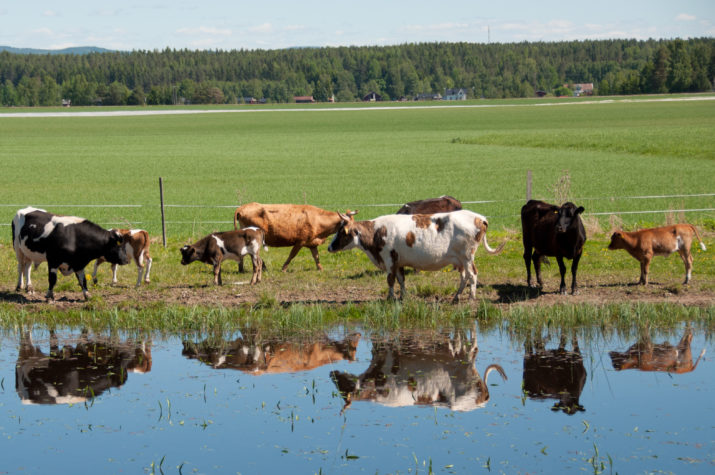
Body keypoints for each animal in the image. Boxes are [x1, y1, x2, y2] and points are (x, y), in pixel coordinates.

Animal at [327, 209, 505, 302]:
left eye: (341, 232)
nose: (329, 247)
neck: (376, 232)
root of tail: (479, 217)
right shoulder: (398, 262)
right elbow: (401, 280)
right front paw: (403, 297)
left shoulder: (389, 259)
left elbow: (390, 280)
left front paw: (390, 298)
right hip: (460, 260)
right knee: (464, 277)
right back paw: (456, 297)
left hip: (467, 256)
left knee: (472, 275)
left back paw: (471, 298)